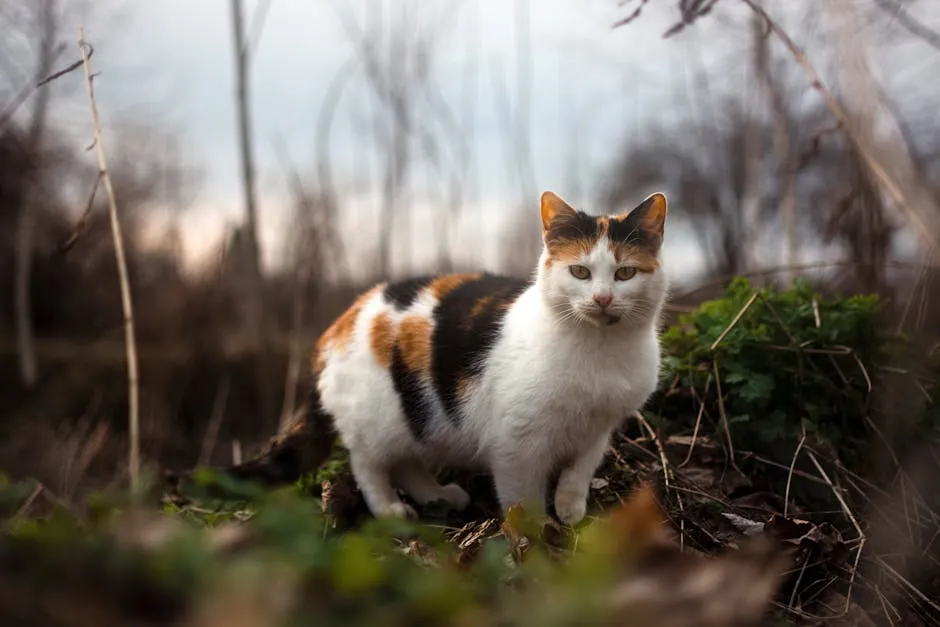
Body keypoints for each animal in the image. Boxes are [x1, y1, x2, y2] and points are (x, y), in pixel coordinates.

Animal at [221, 191, 668, 524]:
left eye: (625, 274)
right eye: (580, 272)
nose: (602, 298)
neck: (600, 354)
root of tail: (338, 325)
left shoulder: (599, 428)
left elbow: (580, 470)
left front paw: (570, 509)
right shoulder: (516, 441)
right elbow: (521, 495)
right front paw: (537, 534)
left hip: (416, 418)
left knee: (405, 462)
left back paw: (440, 496)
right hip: (377, 419)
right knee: (368, 463)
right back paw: (390, 509)